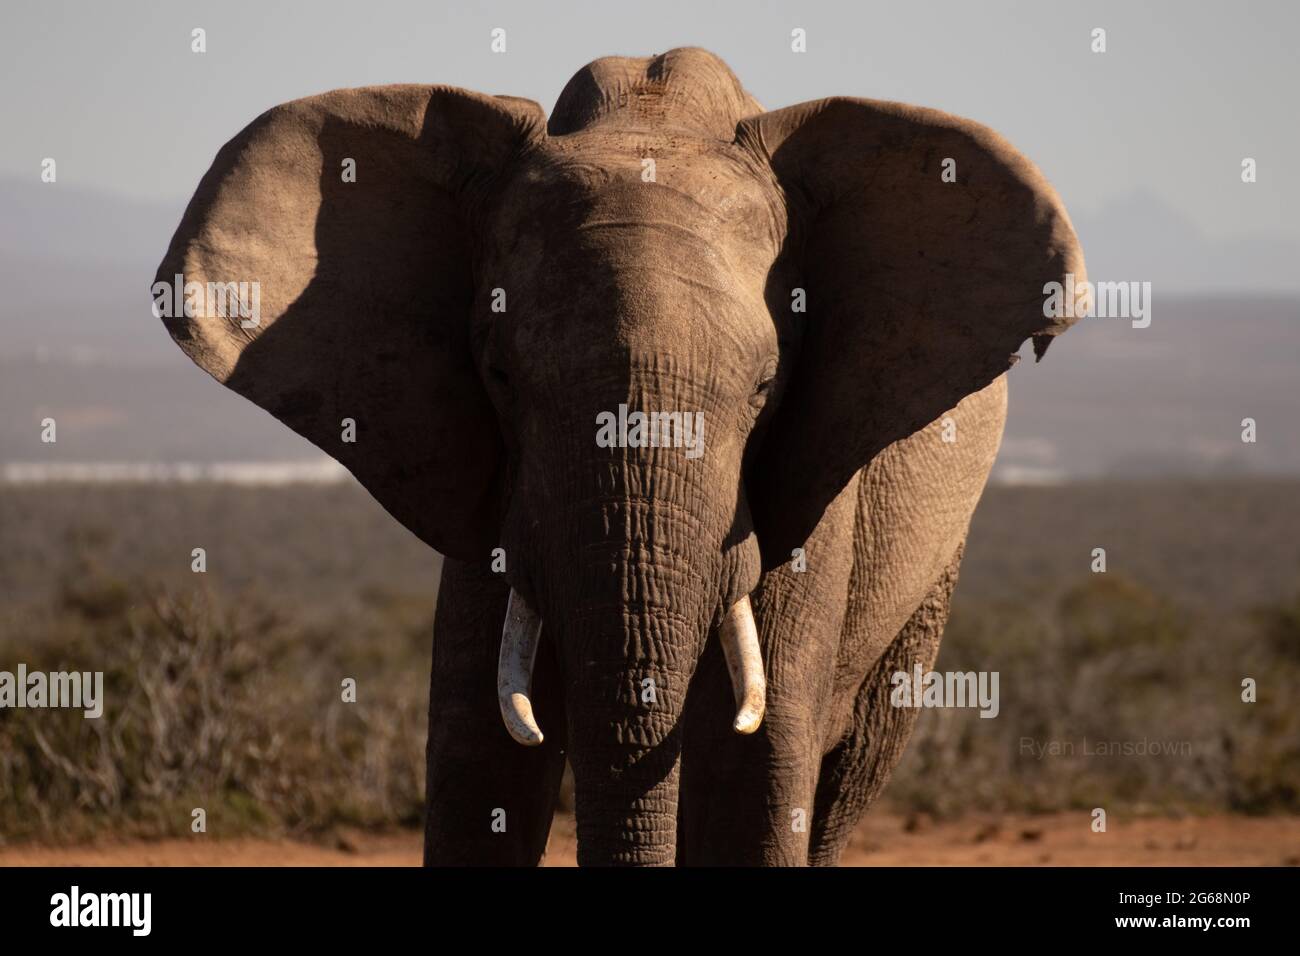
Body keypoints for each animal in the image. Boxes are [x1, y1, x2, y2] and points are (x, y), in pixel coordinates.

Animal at [154, 47, 1086, 866]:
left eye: (765, 387)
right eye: (500, 376)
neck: (651, 114)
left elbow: (754, 770)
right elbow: (477, 761)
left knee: (844, 773)